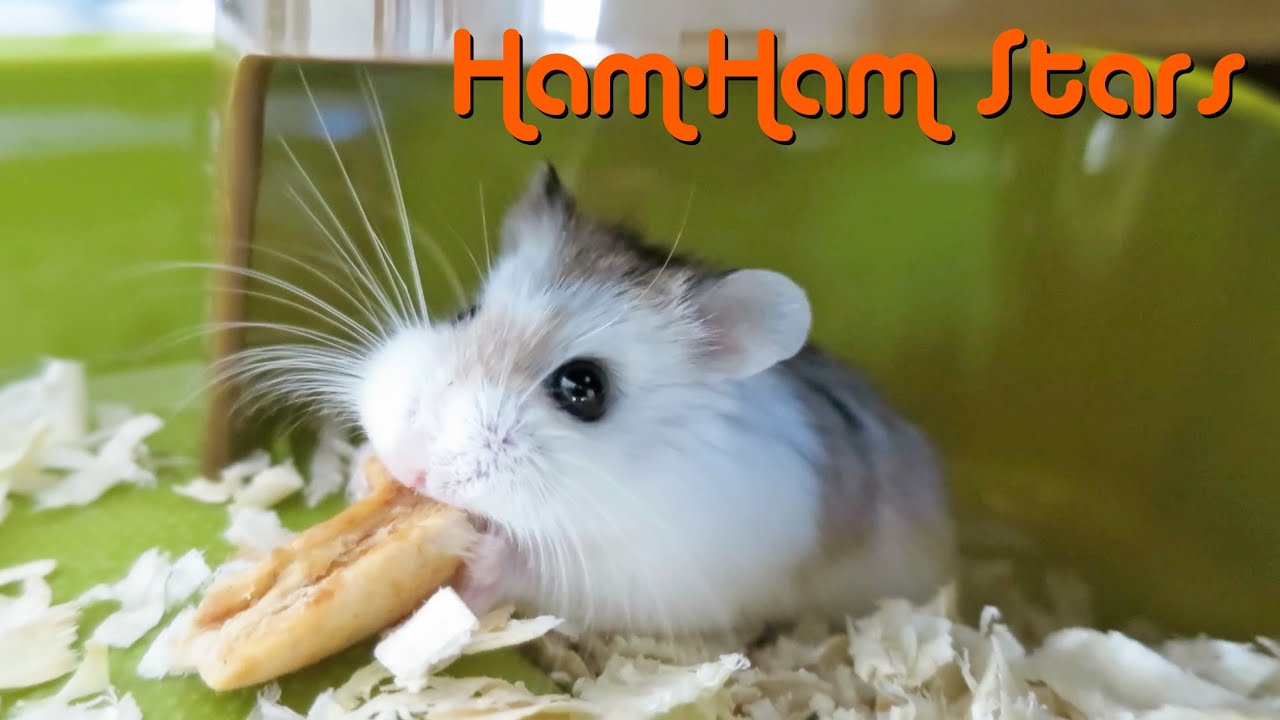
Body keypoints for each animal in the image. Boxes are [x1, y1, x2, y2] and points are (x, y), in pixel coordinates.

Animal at [347, 163, 955, 636]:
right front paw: (362, 471)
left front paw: (481, 562)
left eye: (584, 388)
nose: (408, 463)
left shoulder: (666, 573)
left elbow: (544, 570)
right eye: (465, 313)